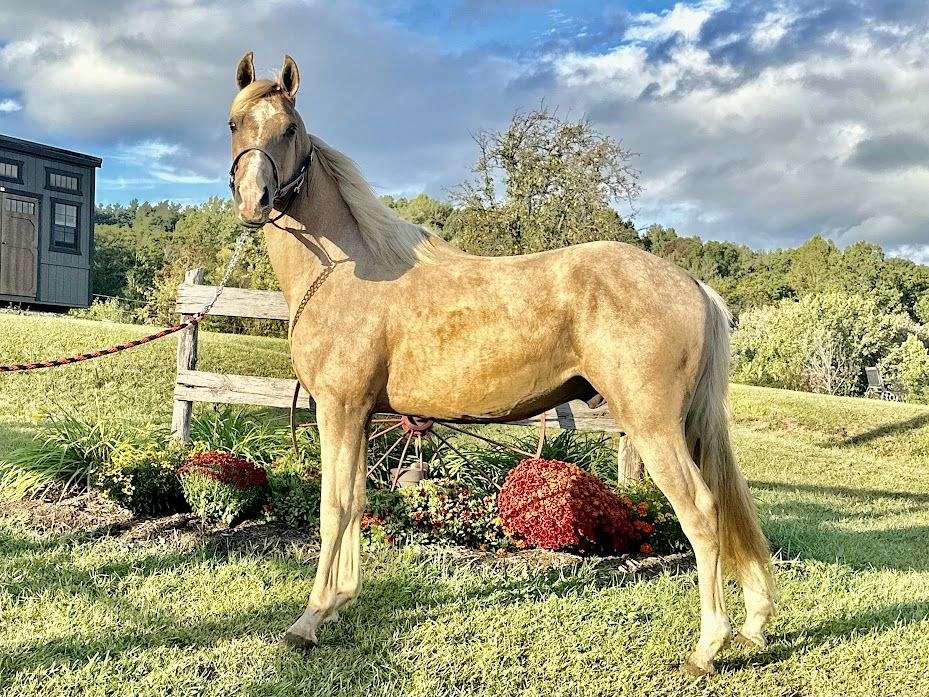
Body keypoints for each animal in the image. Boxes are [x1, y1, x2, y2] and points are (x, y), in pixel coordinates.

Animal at [227, 52, 774, 676]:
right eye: (234, 123)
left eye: (290, 128)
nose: (253, 202)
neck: (351, 268)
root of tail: (693, 286)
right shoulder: (362, 417)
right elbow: (360, 502)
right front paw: (342, 601)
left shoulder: (338, 410)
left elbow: (334, 507)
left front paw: (309, 621)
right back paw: (754, 625)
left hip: (655, 427)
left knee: (703, 515)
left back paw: (708, 646)